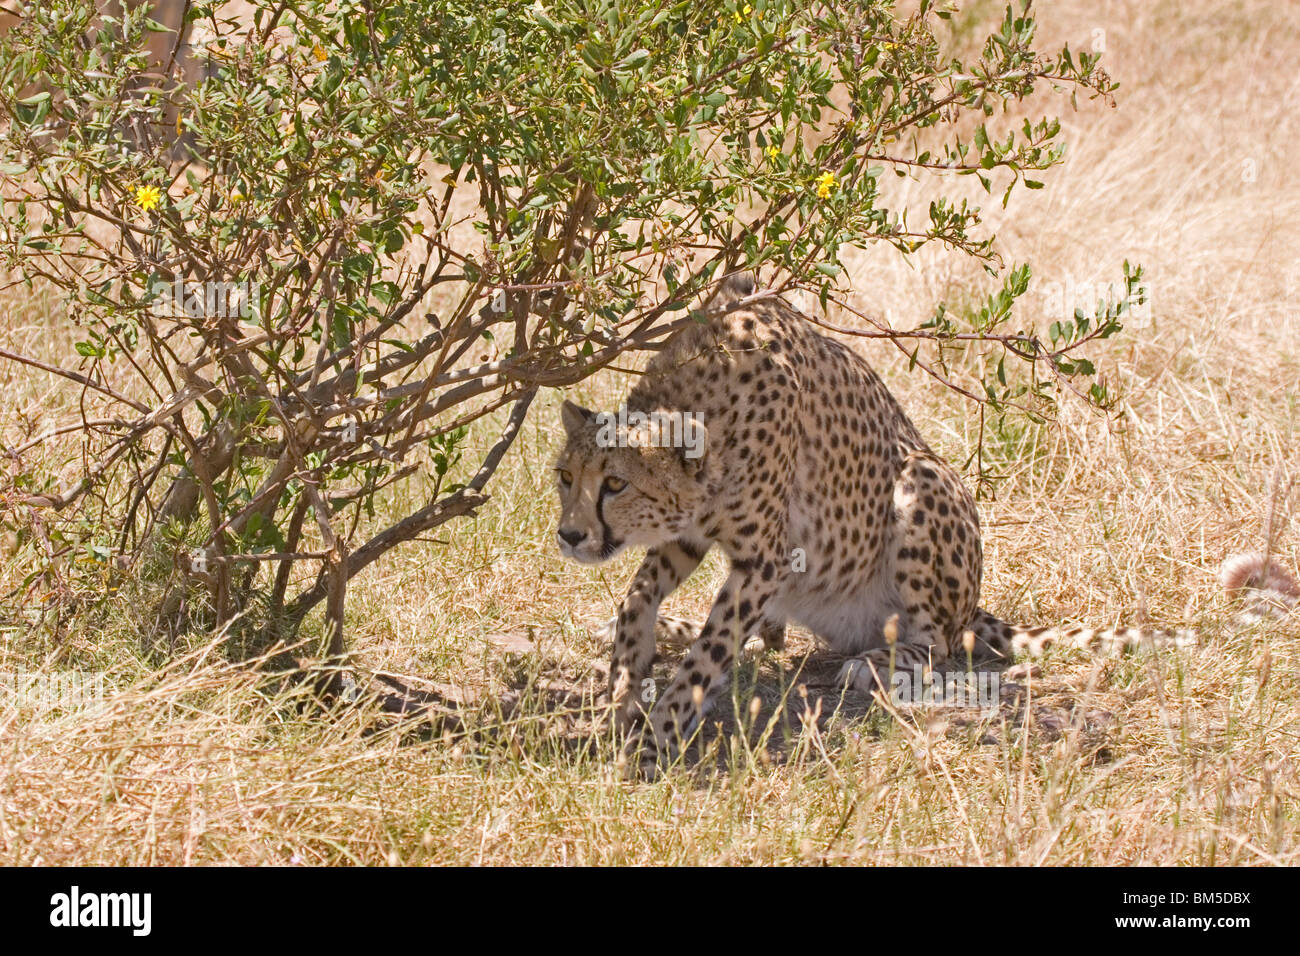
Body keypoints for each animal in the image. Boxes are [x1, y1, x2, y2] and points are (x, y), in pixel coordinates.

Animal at [553, 272, 1204, 776]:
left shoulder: (765, 556)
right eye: (565, 476)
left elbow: (709, 652)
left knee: (939, 643)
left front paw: (655, 733)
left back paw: (872, 664)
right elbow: (638, 594)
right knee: (776, 632)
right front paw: (625, 674)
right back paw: (678, 628)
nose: (570, 535)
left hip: (918, 480)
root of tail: (974, 605)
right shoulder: (692, 532)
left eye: (615, 485)